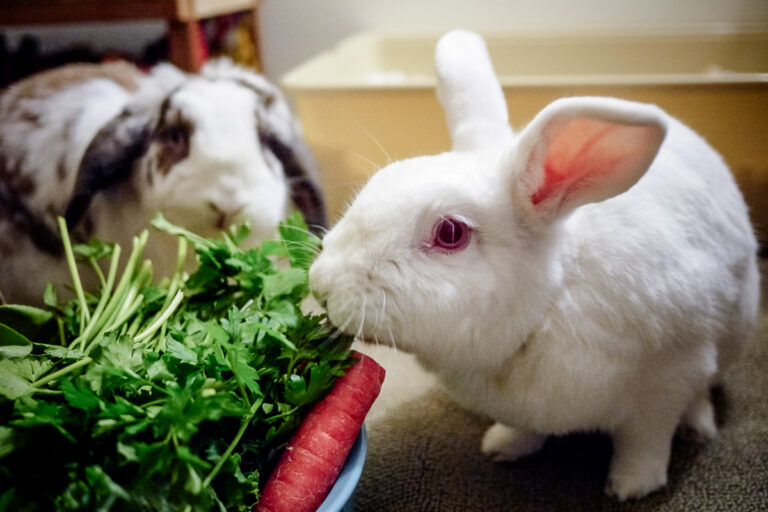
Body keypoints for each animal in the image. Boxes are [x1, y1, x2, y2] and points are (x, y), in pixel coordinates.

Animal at [308, 30, 760, 500]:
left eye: (450, 233)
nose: (320, 284)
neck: (548, 305)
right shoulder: (527, 409)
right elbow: (526, 429)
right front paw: (502, 447)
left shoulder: (667, 381)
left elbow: (645, 443)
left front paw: (630, 487)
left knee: (701, 394)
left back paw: (698, 428)